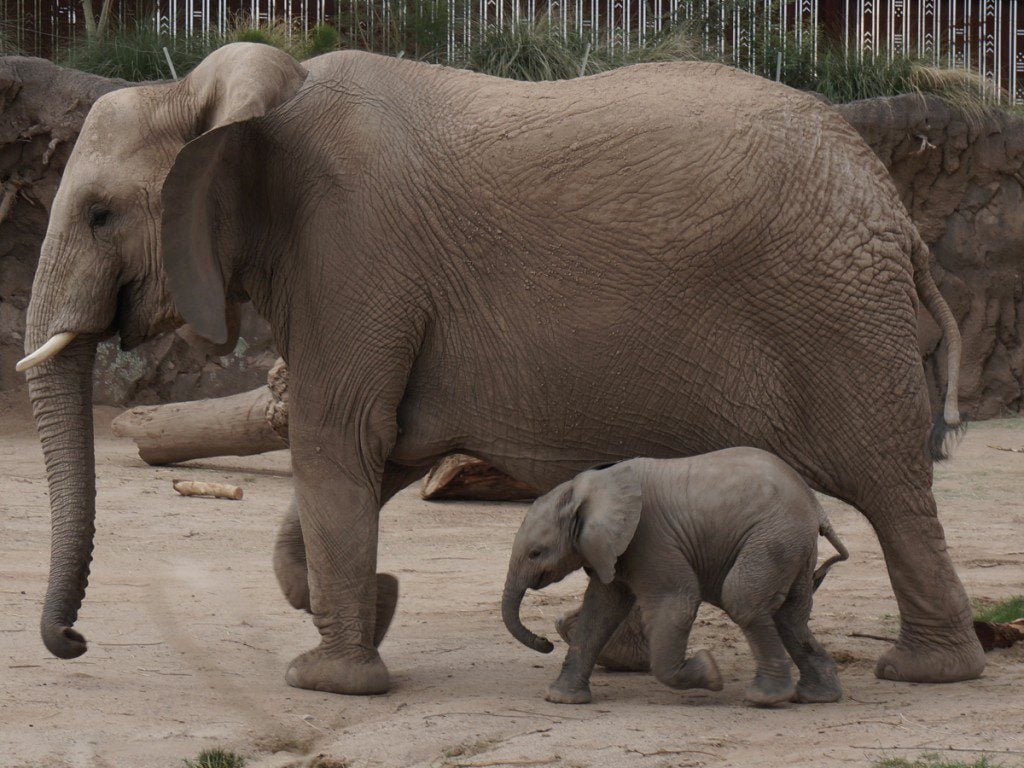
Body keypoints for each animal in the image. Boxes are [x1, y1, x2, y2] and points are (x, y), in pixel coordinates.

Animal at [502, 449, 850, 706]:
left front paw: (710, 672)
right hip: (793, 546)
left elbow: (677, 602)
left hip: (775, 537)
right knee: (787, 616)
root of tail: (816, 507)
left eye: (536, 553)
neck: (589, 487)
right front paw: (561, 698)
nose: (544, 643)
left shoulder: (650, 537)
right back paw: (817, 696)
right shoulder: (615, 548)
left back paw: (765, 698)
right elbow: (600, 611)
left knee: (743, 600)